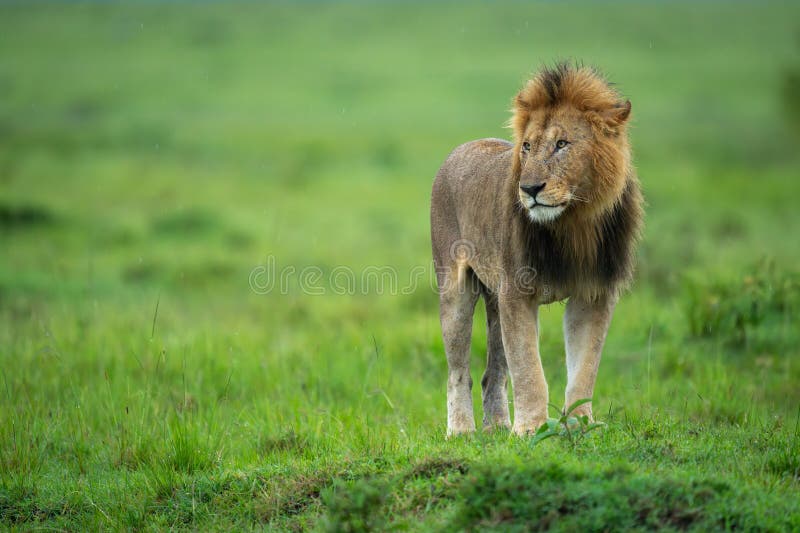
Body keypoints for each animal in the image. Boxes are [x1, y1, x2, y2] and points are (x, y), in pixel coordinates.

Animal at [430, 63, 643, 436]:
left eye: (562, 144)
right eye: (528, 146)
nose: (529, 188)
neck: (574, 223)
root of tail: (460, 149)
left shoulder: (595, 294)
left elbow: (585, 368)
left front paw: (580, 423)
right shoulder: (516, 292)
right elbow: (529, 370)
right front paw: (530, 429)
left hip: (495, 300)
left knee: (493, 374)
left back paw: (497, 427)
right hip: (456, 292)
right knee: (458, 373)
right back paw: (462, 431)